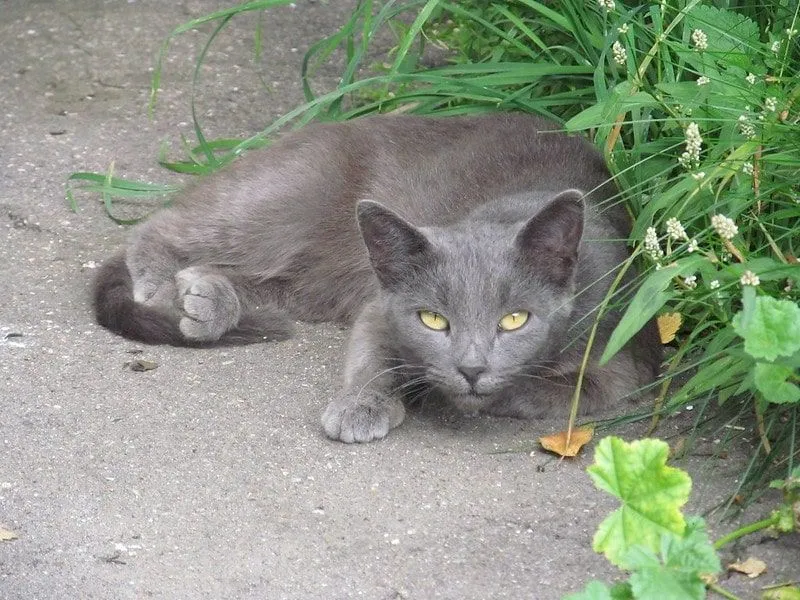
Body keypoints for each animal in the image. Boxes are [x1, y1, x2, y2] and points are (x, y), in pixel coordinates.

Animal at [94, 113, 660, 440]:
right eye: (433, 320)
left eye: (515, 320)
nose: (472, 369)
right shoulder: (379, 308)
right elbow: (372, 357)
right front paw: (362, 407)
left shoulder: (623, 350)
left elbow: (574, 390)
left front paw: (489, 394)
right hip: (283, 200)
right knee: (159, 228)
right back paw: (164, 291)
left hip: (313, 283)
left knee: (259, 281)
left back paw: (206, 302)